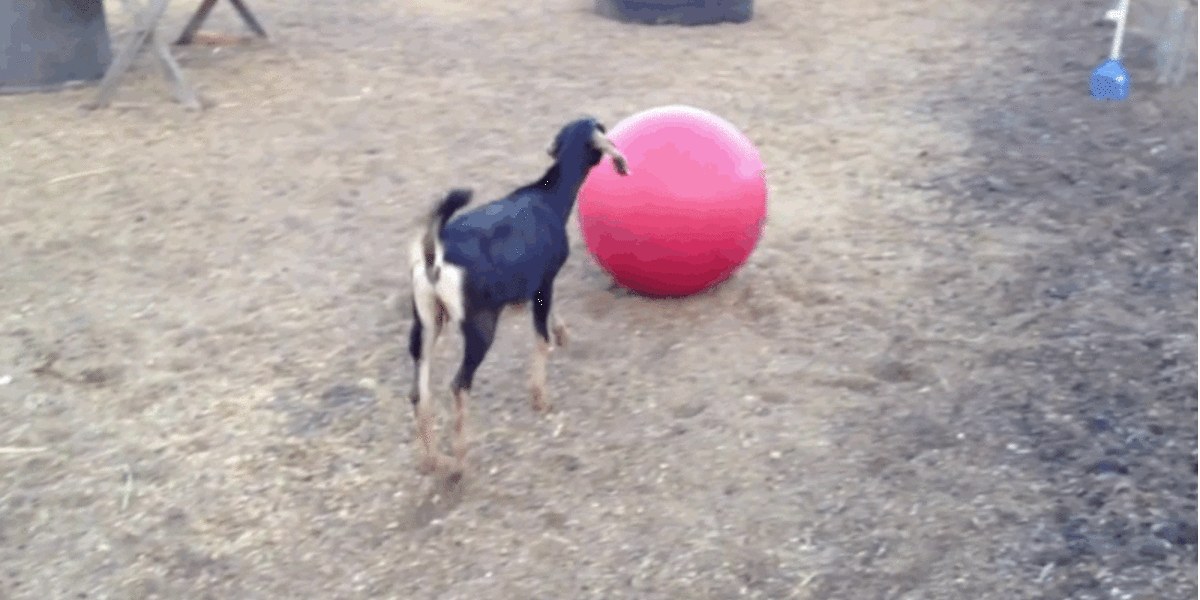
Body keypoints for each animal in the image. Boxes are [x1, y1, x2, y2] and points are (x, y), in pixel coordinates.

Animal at [407, 118, 630, 478]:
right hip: (480, 326)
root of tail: (435, 255)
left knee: (419, 393)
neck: (548, 196)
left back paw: (432, 461)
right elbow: (540, 338)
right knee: (459, 385)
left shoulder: (533, 286)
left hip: (426, 323)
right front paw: (541, 397)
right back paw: (460, 459)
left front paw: (563, 335)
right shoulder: (545, 283)